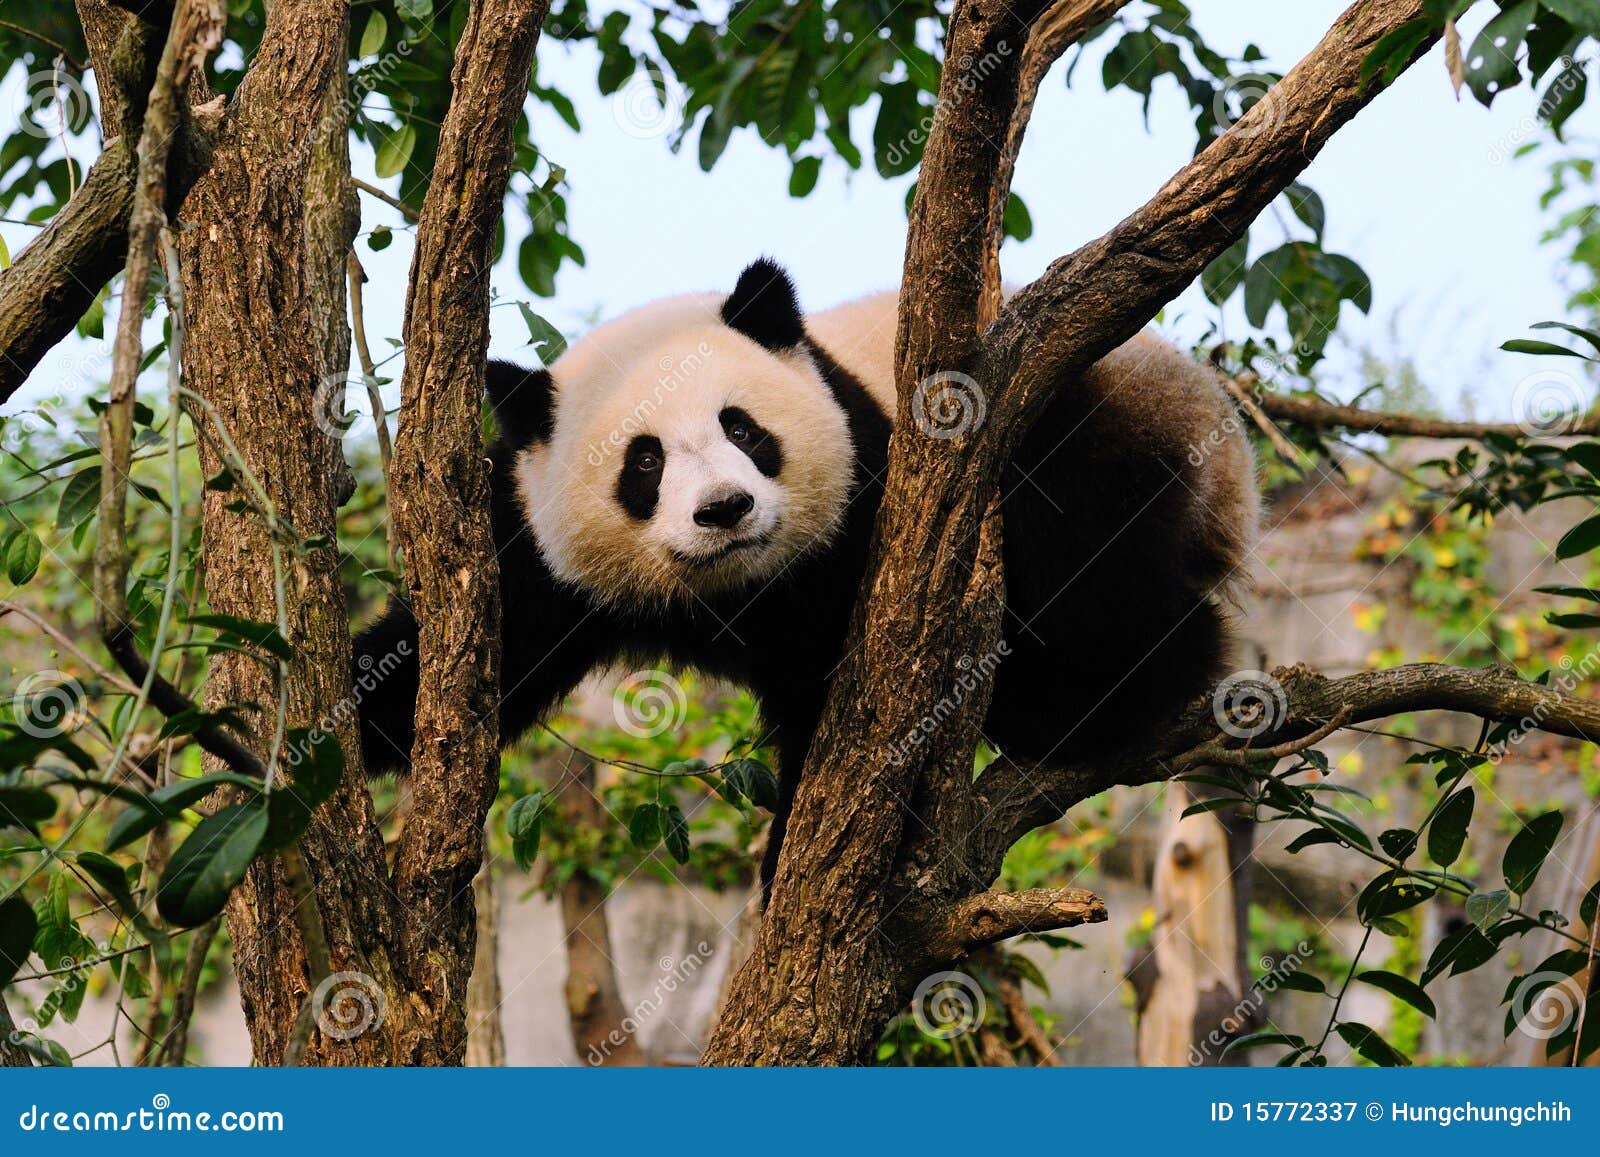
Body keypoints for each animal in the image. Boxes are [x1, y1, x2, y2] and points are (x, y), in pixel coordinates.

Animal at [354, 258, 1259, 892]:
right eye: (644, 461)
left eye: (743, 428)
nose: (724, 509)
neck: (739, 591)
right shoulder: (536, 554)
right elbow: (452, 659)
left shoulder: (878, 489)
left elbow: (872, 698)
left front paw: (799, 844)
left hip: (1078, 427)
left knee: (1092, 587)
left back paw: (1108, 688)